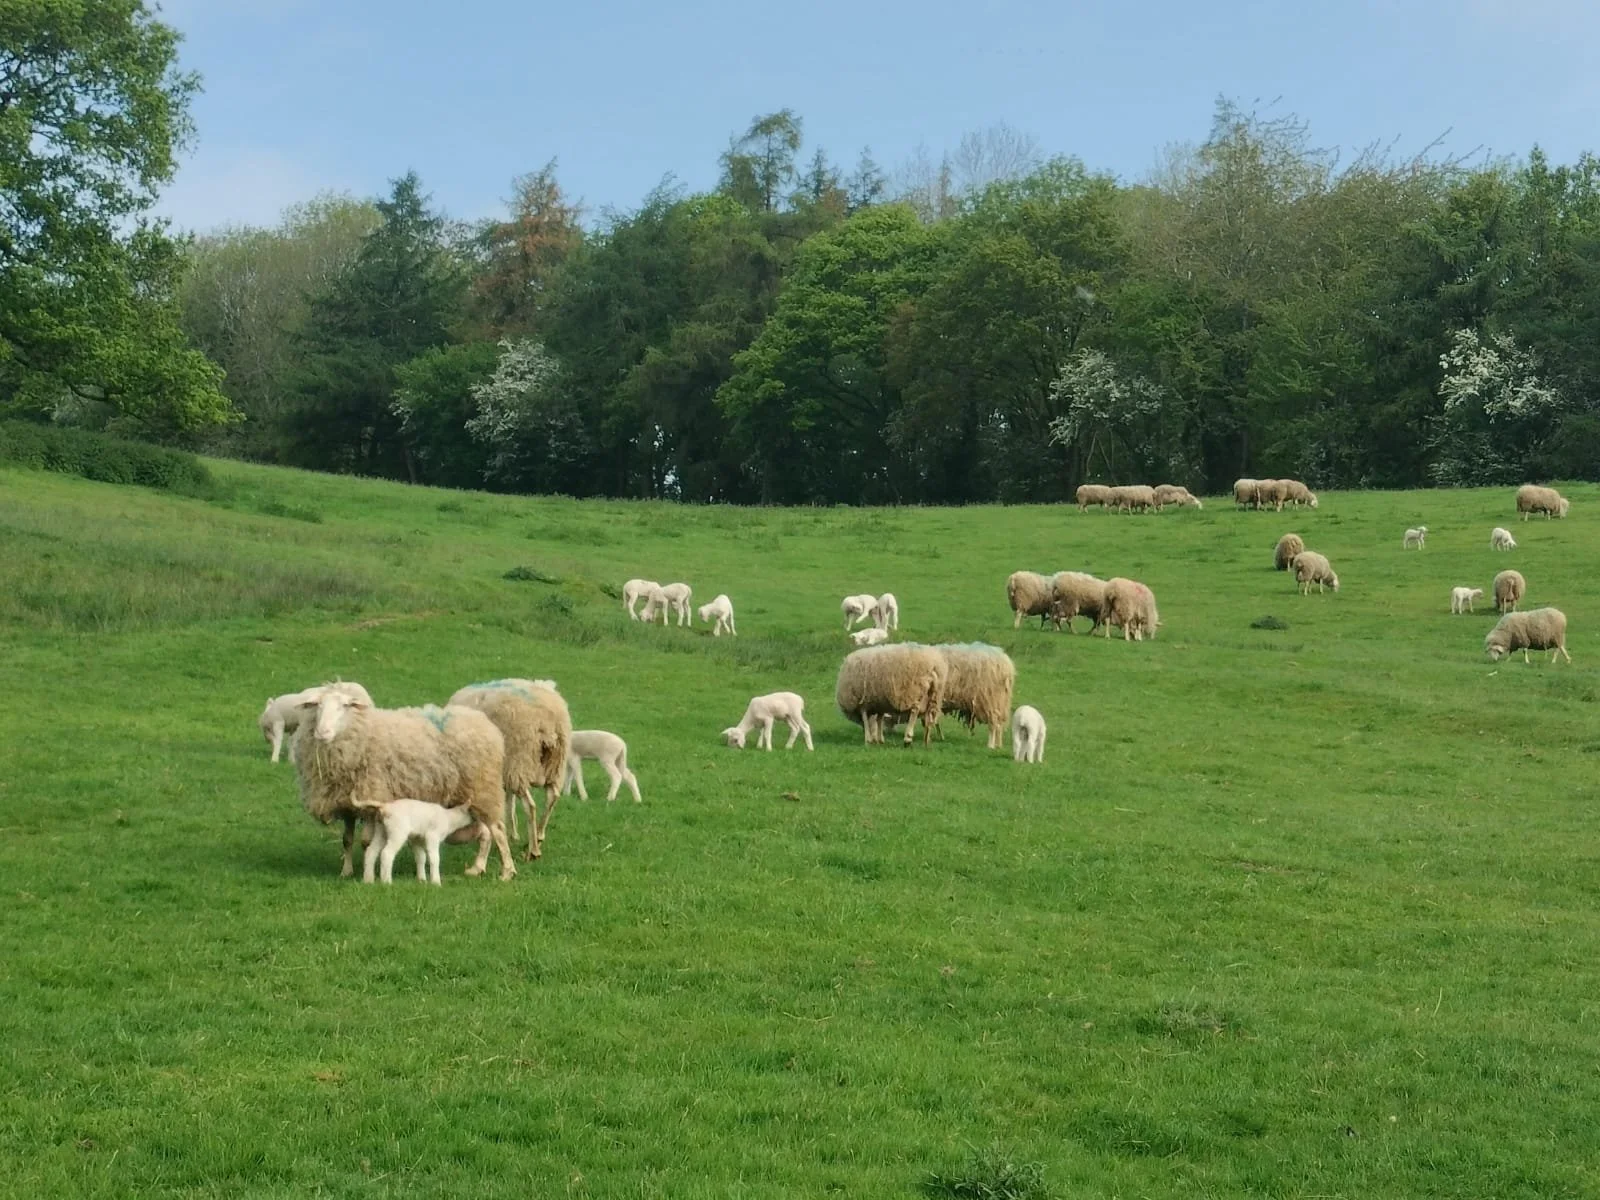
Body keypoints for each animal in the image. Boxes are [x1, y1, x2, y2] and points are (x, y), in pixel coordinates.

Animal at [291, 691, 513, 880]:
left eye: (345, 706)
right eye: (318, 705)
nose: (322, 732)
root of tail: (484, 722)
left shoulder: (374, 794)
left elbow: (366, 842)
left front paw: (368, 871)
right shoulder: (346, 804)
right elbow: (347, 839)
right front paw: (346, 872)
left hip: (484, 787)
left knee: (498, 830)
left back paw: (507, 872)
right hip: (469, 796)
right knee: (485, 832)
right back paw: (478, 868)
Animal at [447, 679, 572, 863]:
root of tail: (547, 722)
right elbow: (508, 802)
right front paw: (512, 834)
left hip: (518, 760)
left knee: (530, 806)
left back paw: (533, 850)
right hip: (553, 765)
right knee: (552, 796)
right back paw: (539, 836)